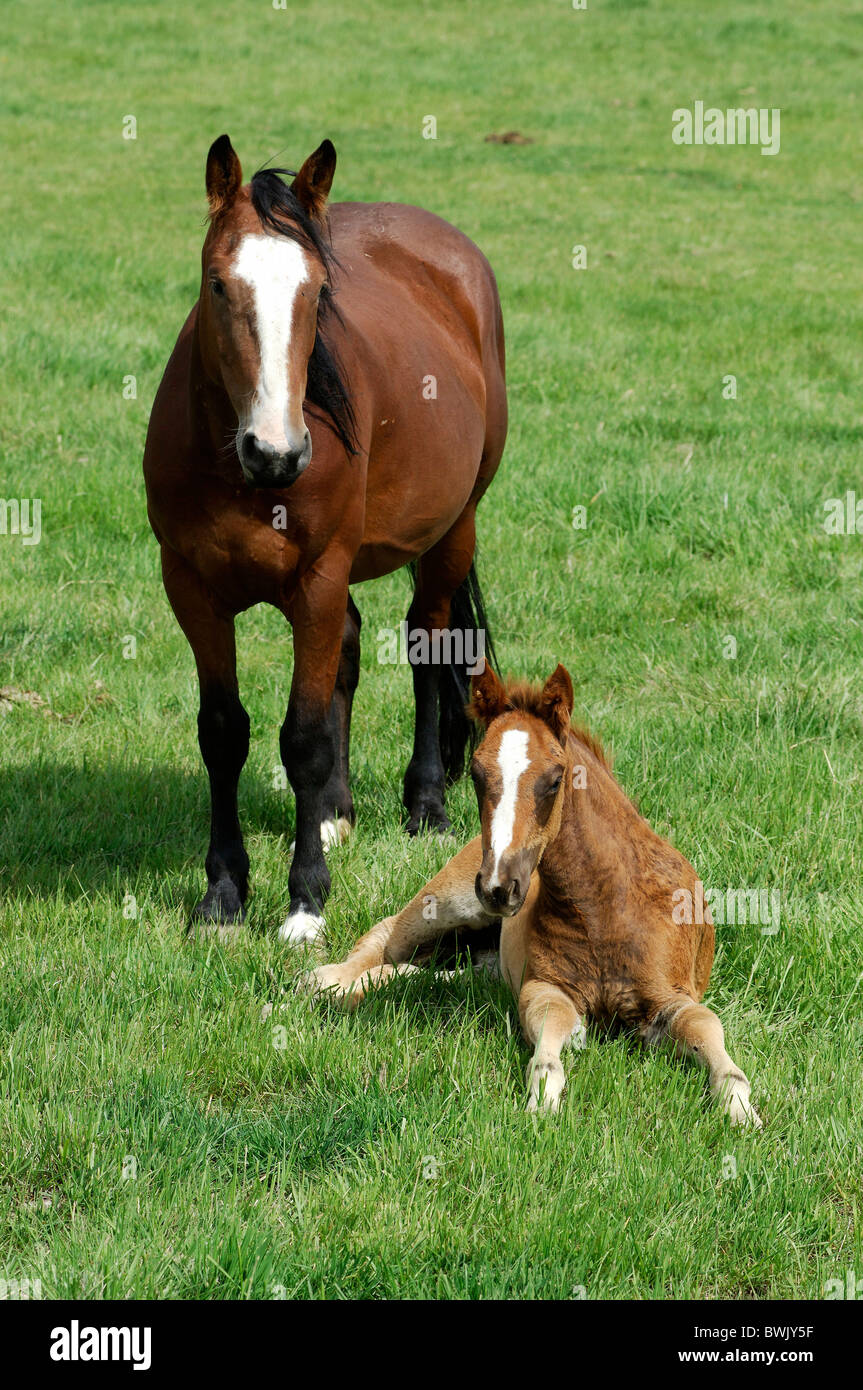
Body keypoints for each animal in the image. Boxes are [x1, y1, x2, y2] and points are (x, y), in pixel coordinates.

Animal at [143, 137, 507, 945]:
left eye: (316, 293)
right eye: (217, 286)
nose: (276, 452)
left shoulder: (315, 579)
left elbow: (302, 738)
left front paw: (305, 903)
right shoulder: (192, 589)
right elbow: (224, 733)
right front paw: (222, 897)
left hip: (453, 529)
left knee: (426, 643)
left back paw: (425, 805)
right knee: (347, 648)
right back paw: (337, 814)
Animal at [304, 662, 762, 1126]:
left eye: (555, 780)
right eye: (475, 774)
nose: (498, 887)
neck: (608, 907)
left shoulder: (671, 994)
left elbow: (704, 1025)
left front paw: (740, 1107)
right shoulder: (544, 985)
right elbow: (551, 1032)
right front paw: (545, 1100)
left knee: (425, 971)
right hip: (449, 902)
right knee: (386, 936)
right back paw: (328, 981)